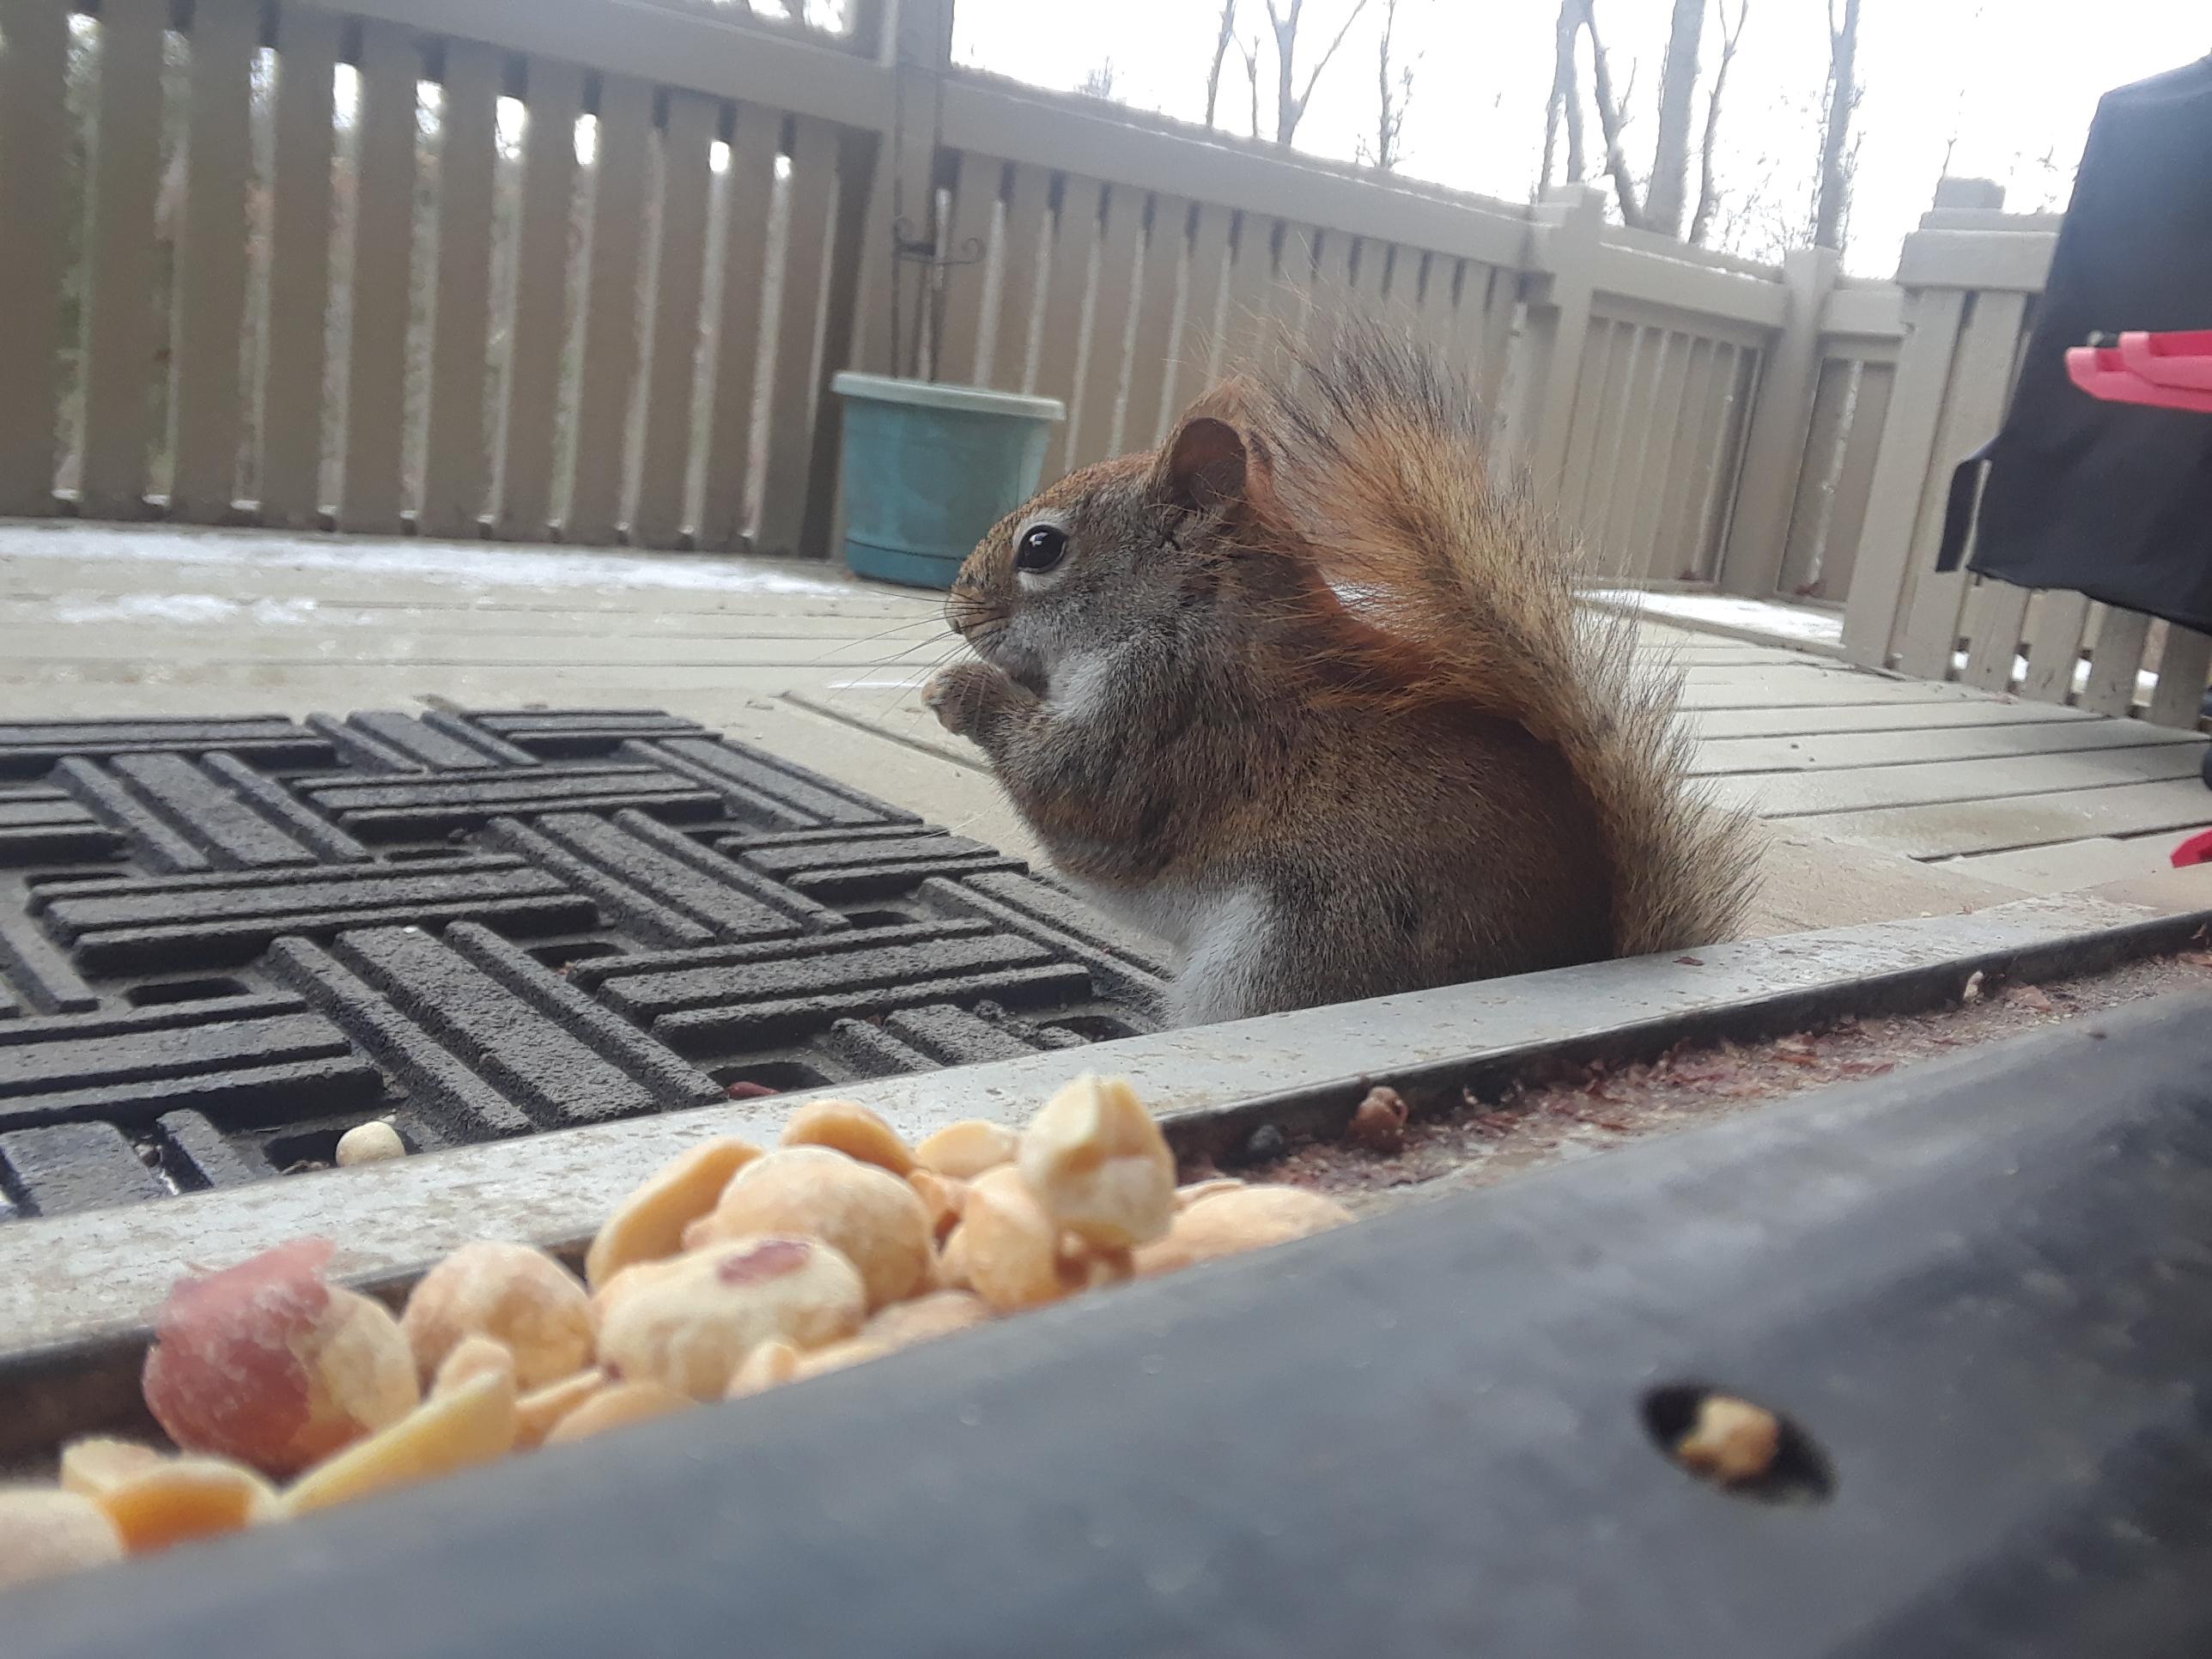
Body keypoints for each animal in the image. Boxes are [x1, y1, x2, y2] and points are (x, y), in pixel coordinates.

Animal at [923, 323, 1755, 1027]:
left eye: (1041, 548)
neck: (1192, 615)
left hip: (1286, 960)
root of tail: (1576, 955)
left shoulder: (1167, 716)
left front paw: (961, 691)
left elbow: (1074, 792)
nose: (956, 614)